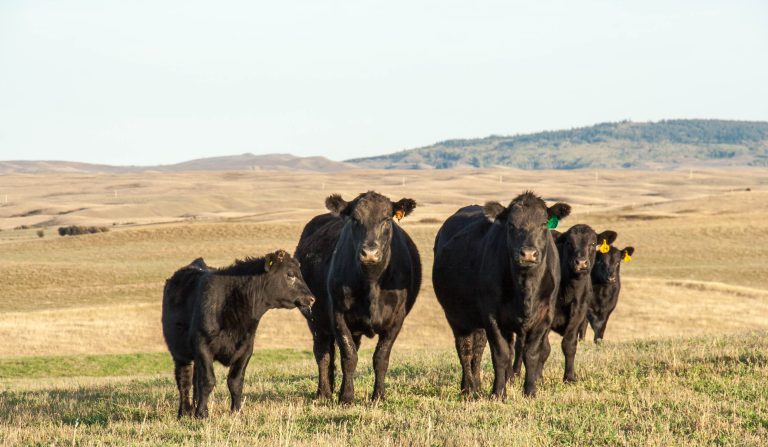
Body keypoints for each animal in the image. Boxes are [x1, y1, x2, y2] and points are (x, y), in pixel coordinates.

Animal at [161, 250, 315, 418]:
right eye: (290, 274)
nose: (311, 299)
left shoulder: (246, 348)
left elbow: (235, 382)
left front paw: (236, 411)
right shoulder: (203, 345)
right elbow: (208, 381)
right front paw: (202, 414)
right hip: (179, 352)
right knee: (184, 379)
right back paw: (184, 411)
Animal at [295, 191, 421, 404]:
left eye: (387, 219)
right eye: (355, 219)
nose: (370, 253)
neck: (372, 283)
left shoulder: (396, 319)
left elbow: (381, 357)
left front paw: (379, 396)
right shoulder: (337, 314)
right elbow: (349, 356)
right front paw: (346, 397)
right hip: (315, 319)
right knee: (323, 353)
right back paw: (324, 393)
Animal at [433, 191, 571, 398]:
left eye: (544, 223)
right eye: (511, 225)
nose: (528, 253)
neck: (525, 289)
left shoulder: (545, 316)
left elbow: (531, 353)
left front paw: (530, 391)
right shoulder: (492, 317)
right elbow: (501, 354)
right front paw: (498, 392)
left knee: (478, 349)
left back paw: (477, 386)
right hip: (456, 315)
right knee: (465, 349)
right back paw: (468, 389)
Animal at [513, 226, 616, 382]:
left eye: (592, 243)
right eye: (569, 243)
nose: (581, 262)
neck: (570, 288)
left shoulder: (579, 313)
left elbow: (569, 345)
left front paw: (569, 377)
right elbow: (544, 348)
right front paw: (537, 377)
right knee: (520, 344)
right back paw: (515, 374)